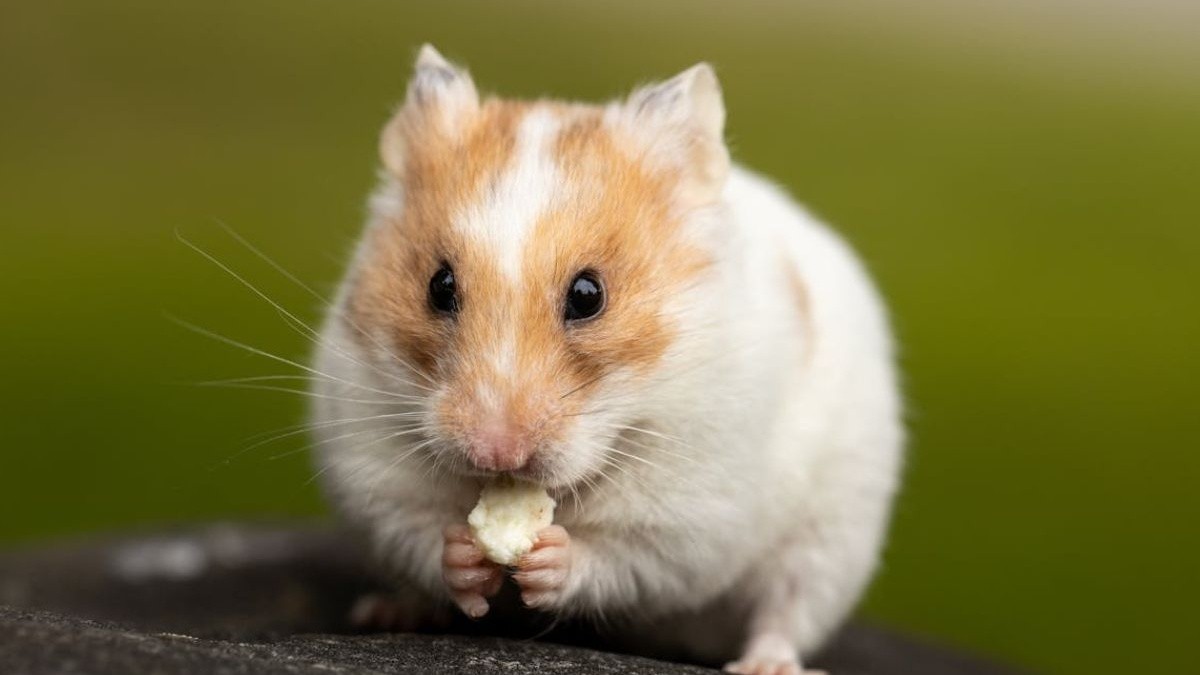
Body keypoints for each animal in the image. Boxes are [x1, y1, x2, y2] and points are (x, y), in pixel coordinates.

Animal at [311, 44, 903, 675]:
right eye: (438, 286)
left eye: (588, 295)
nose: (497, 454)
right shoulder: (373, 470)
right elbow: (420, 532)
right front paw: (466, 556)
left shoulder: (688, 517)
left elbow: (619, 558)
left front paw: (548, 557)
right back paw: (385, 612)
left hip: (831, 539)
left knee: (785, 611)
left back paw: (764, 665)